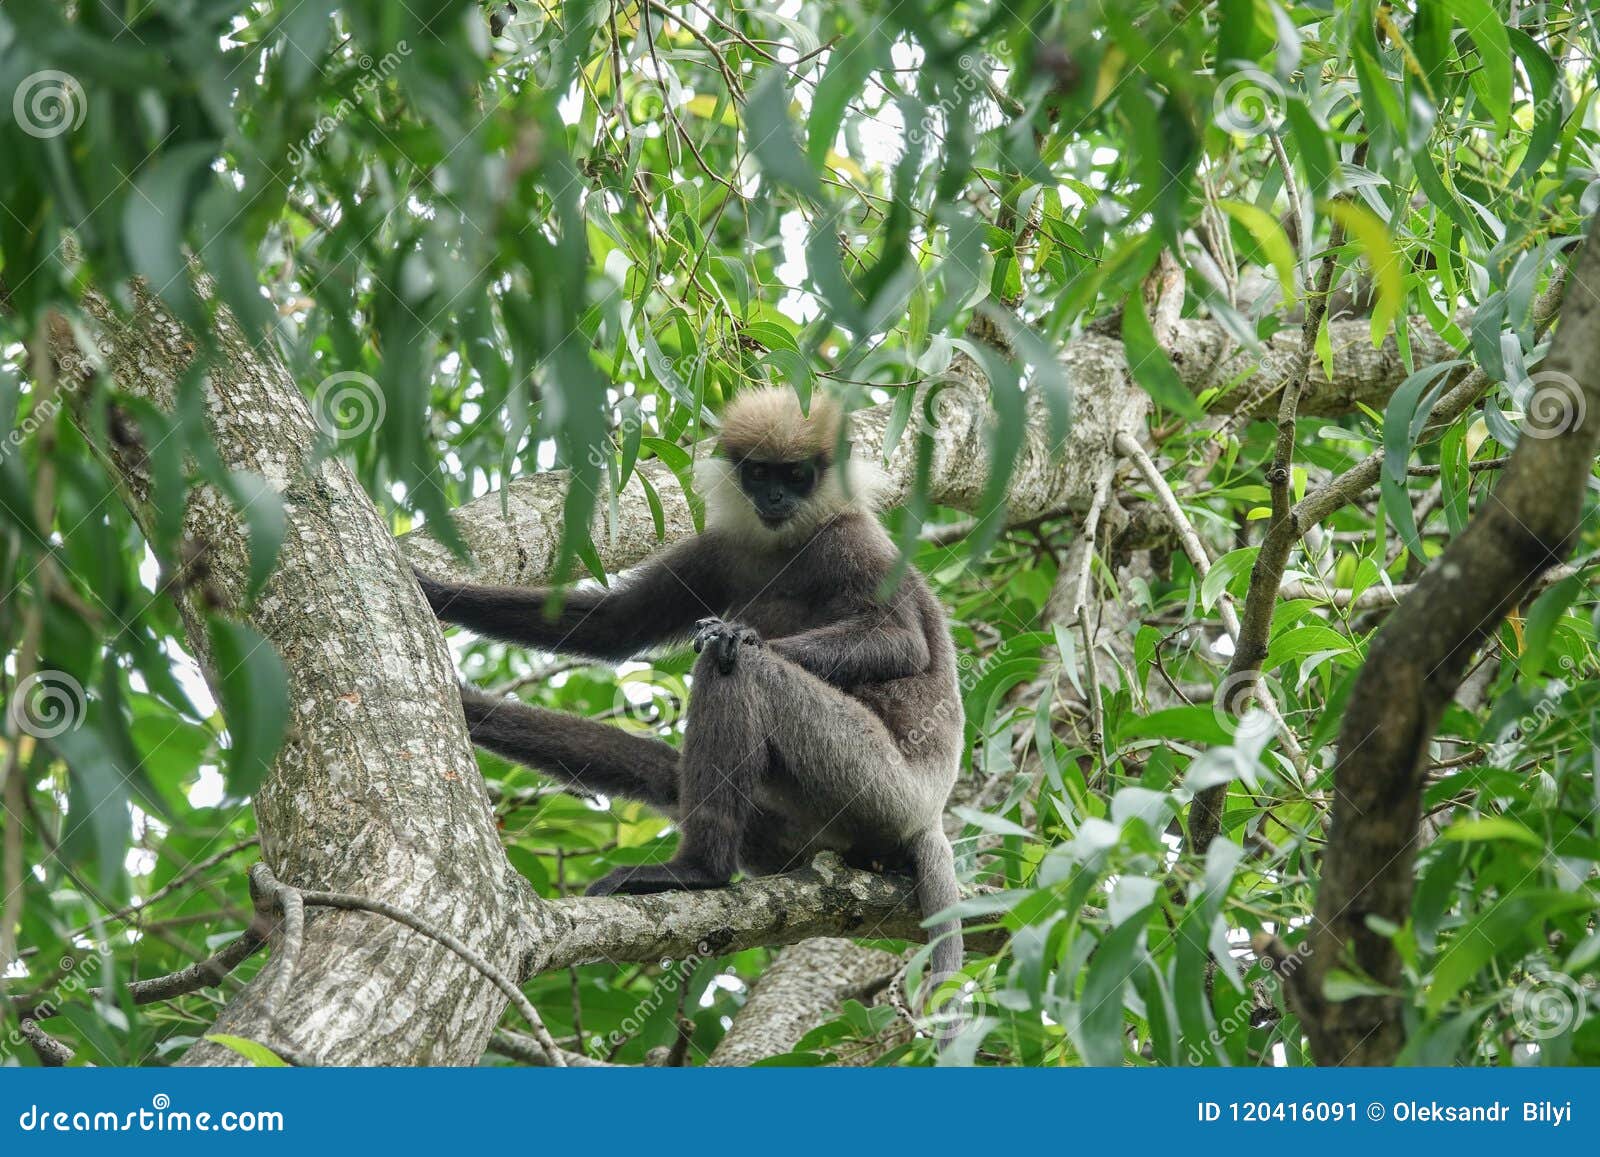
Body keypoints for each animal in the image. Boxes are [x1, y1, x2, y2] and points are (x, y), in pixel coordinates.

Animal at [414, 387, 968, 1034]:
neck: (786, 544)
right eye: (759, 474)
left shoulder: (850, 539)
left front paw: (736, 635)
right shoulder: (721, 548)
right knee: (664, 768)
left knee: (737, 671)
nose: (775, 500)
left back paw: (699, 869)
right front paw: (432, 597)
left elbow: (900, 643)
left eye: (796, 476)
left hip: (874, 782)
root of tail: (929, 813)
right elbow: (613, 626)